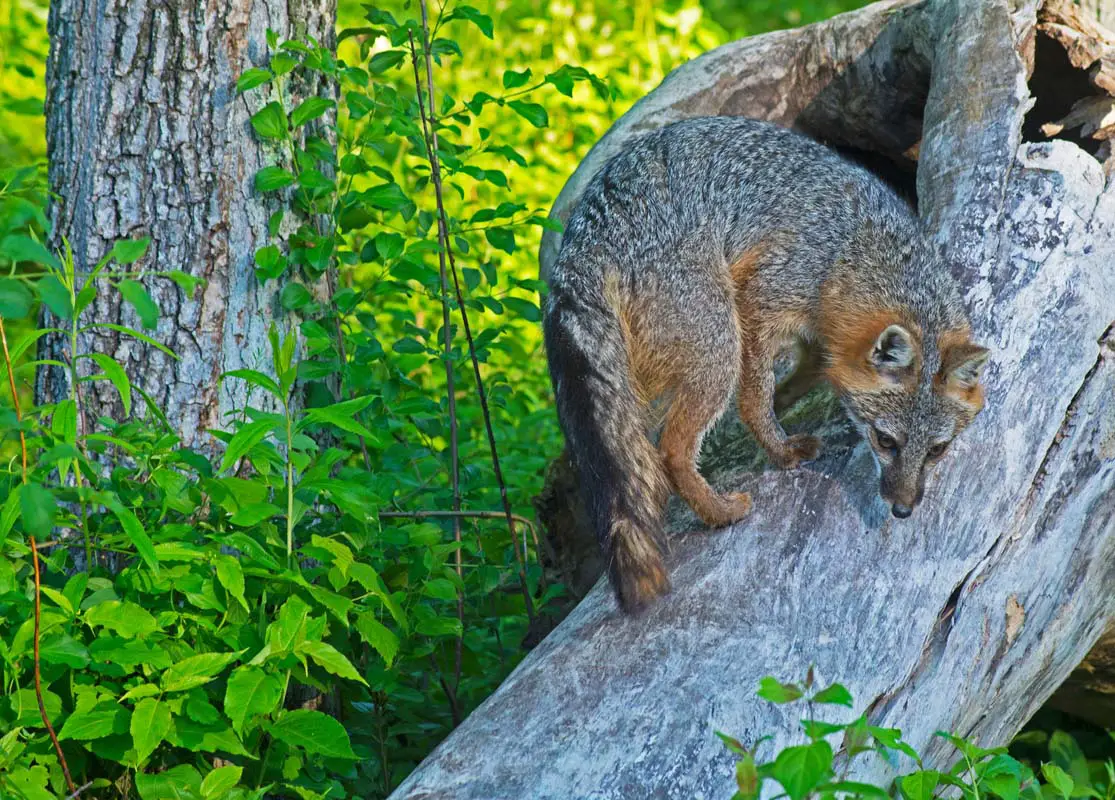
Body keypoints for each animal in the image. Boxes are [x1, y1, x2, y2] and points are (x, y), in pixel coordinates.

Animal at [542, 116, 990, 613]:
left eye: (937, 450)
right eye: (885, 441)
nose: (902, 510)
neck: (855, 247)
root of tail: (584, 240)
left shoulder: (818, 331)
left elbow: (807, 371)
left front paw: (789, 402)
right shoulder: (762, 300)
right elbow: (754, 398)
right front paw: (780, 449)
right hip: (719, 344)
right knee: (671, 449)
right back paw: (720, 513)